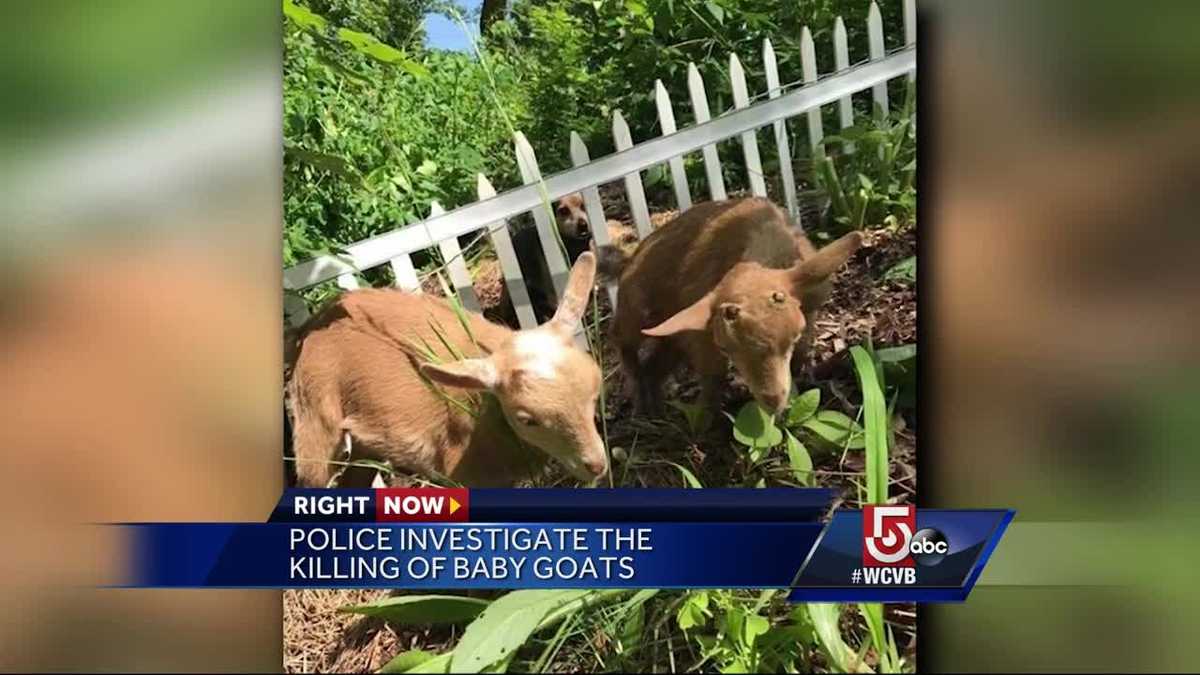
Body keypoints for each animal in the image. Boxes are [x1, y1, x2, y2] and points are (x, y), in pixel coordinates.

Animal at [287, 253, 607, 488]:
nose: (596, 465)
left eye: (596, 390)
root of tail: (314, 323)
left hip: (366, 443)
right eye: (526, 419)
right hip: (314, 422)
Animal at [605, 197, 862, 415]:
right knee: (621, 337)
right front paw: (705, 421)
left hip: (669, 332)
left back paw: (653, 407)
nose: (773, 402)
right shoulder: (701, 327)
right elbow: (713, 374)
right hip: (636, 308)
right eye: (726, 348)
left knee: (655, 363)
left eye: (793, 336)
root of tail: (628, 260)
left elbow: (801, 351)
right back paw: (640, 401)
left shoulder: (809, 309)